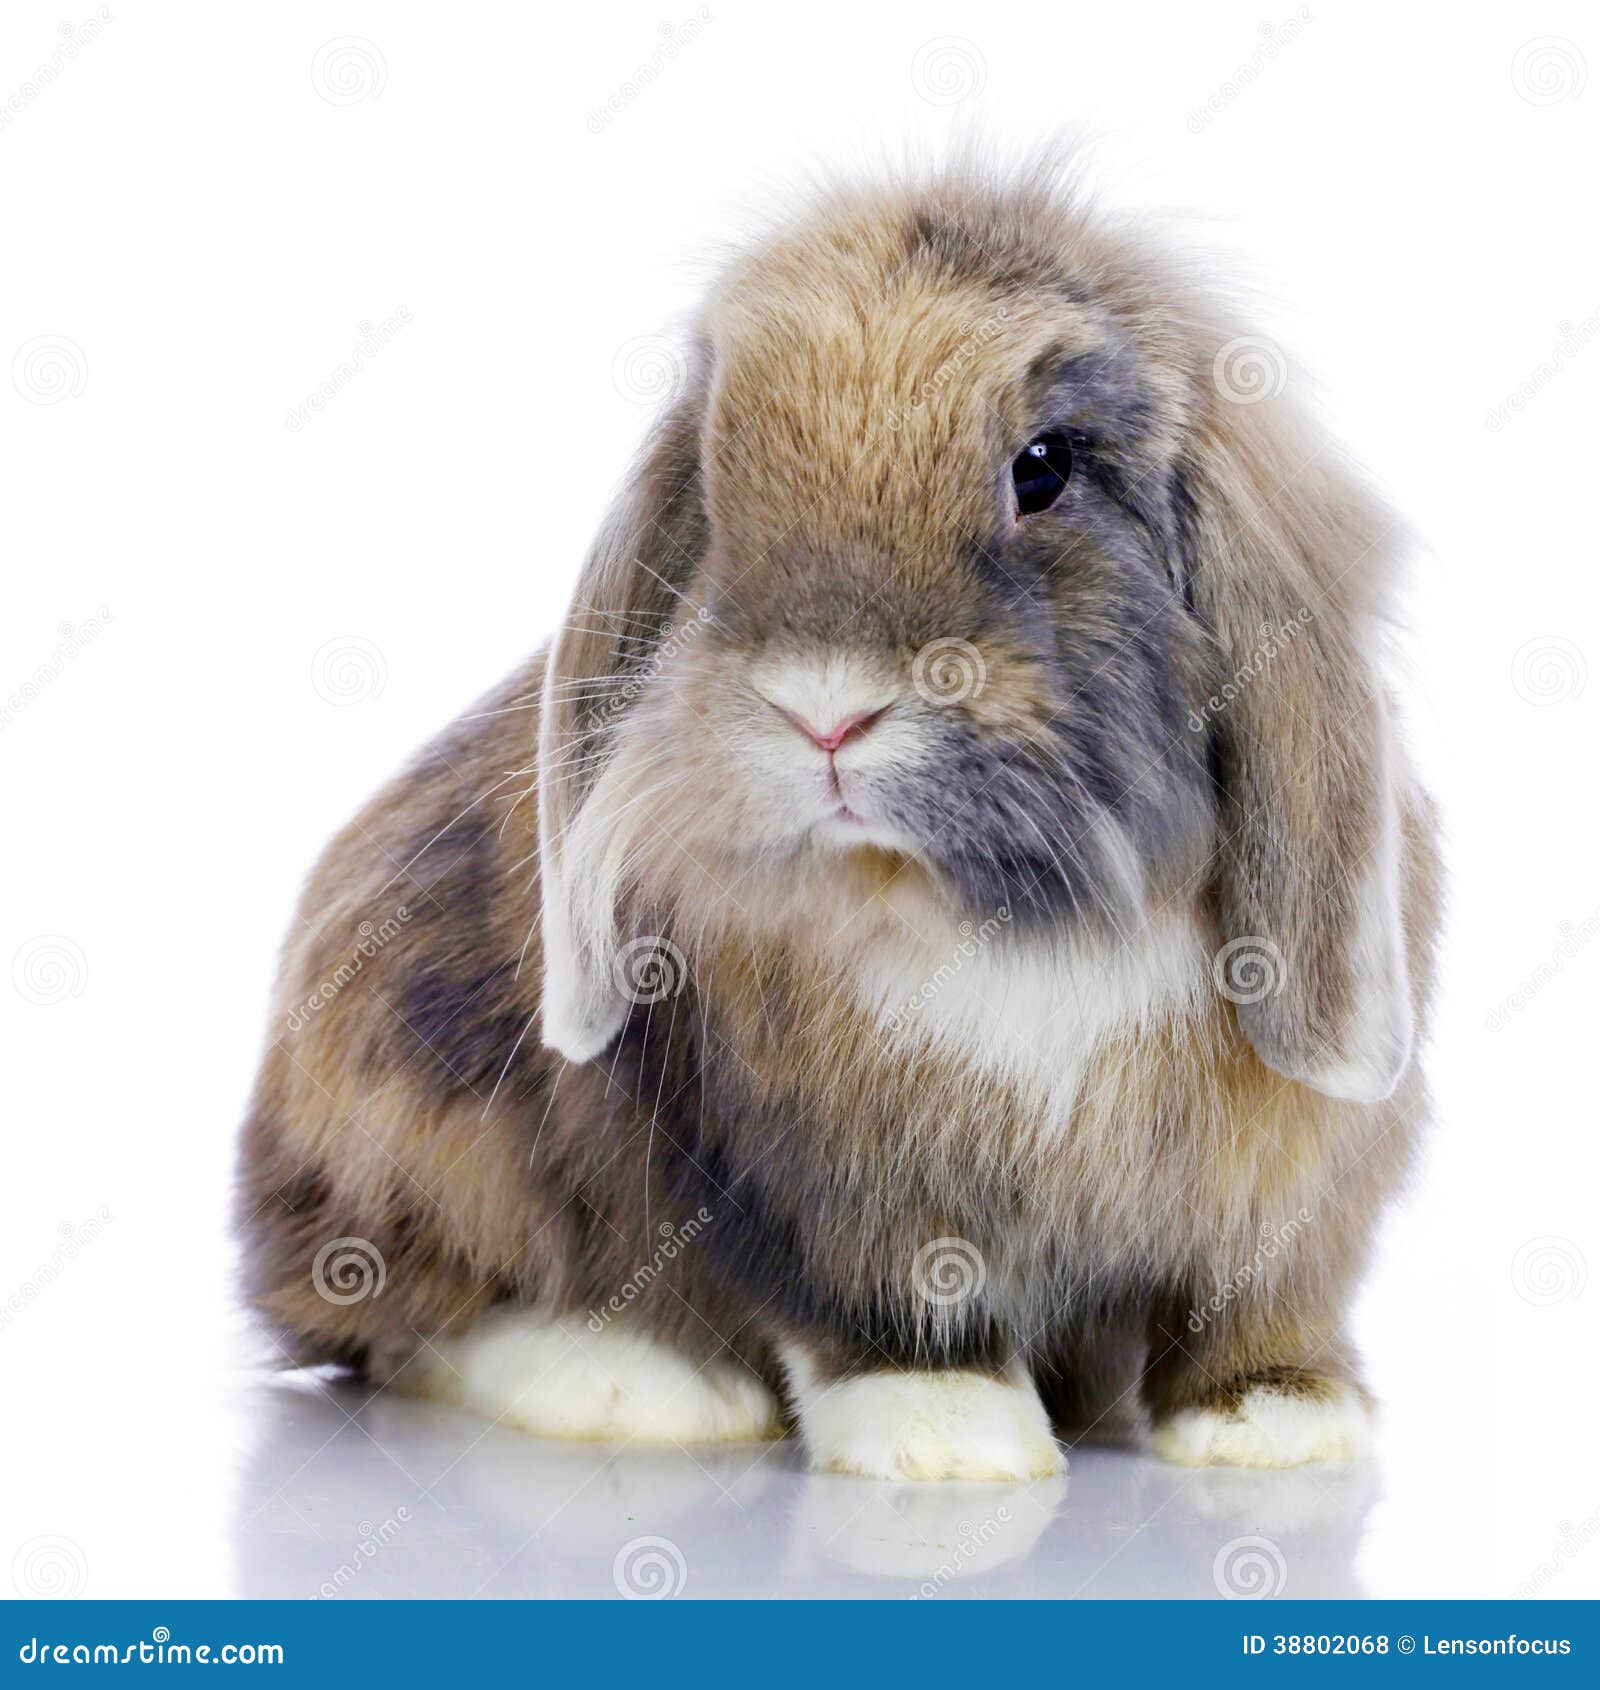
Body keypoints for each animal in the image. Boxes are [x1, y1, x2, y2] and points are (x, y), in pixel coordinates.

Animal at [237, 158, 1440, 1483]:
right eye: (715, 487)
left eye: (1043, 467)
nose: (824, 708)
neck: (984, 906)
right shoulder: (818, 1180)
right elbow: (884, 1298)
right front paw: (949, 1434)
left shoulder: (1289, 1187)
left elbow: (1258, 1294)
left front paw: (1277, 1420)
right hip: (408, 1109)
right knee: (408, 1320)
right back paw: (639, 1386)